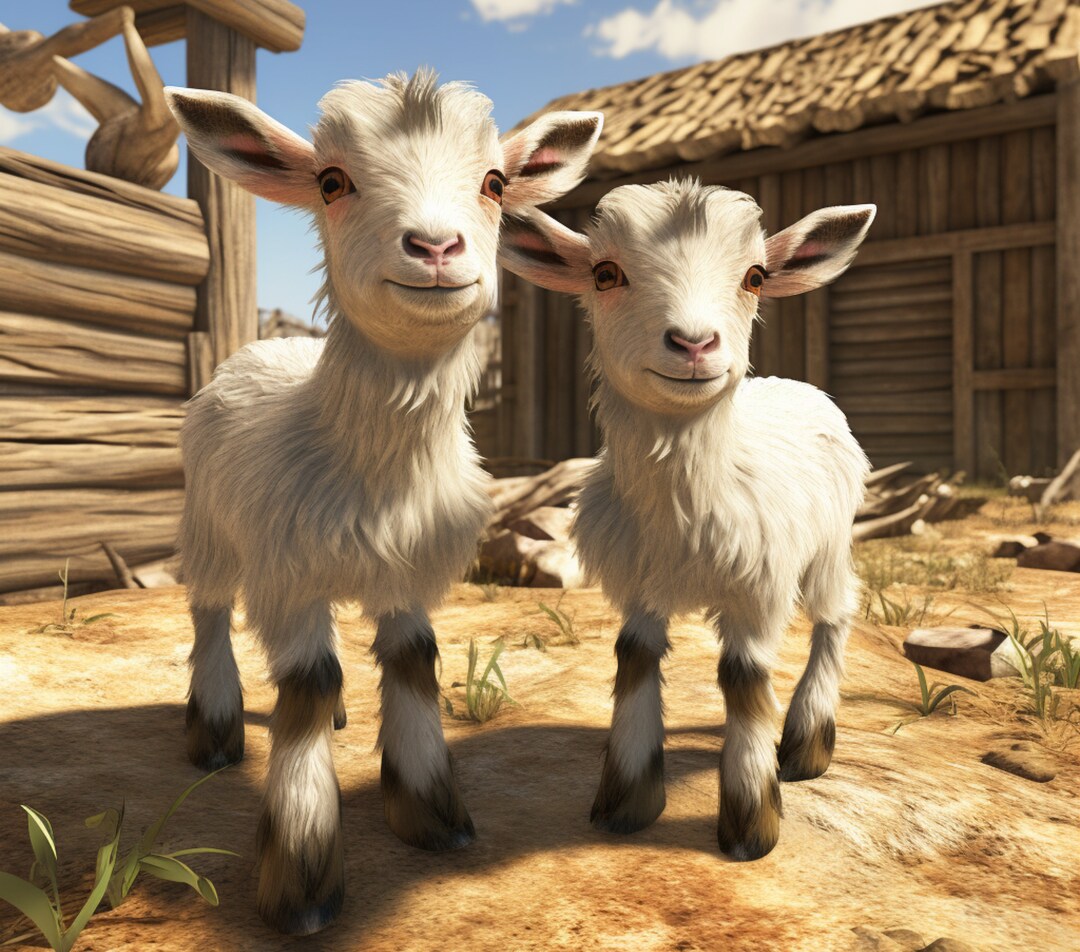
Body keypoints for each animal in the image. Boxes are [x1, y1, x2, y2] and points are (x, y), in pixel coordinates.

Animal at [164, 70, 601, 934]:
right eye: (332, 182)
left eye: (494, 183)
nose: (434, 248)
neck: (374, 465)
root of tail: (265, 343)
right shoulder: (288, 575)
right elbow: (305, 686)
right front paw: (301, 882)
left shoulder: (408, 572)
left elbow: (412, 664)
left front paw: (433, 817)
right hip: (211, 526)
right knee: (209, 611)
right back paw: (217, 731)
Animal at [499, 179, 874, 861]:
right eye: (605, 273)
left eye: (755, 276)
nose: (695, 345)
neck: (686, 509)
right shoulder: (639, 585)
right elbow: (634, 657)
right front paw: (626, 804)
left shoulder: (758, 588)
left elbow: (743, 677)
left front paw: (751, 827)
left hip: (829, 544)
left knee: (835, 616)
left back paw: (807, 744)